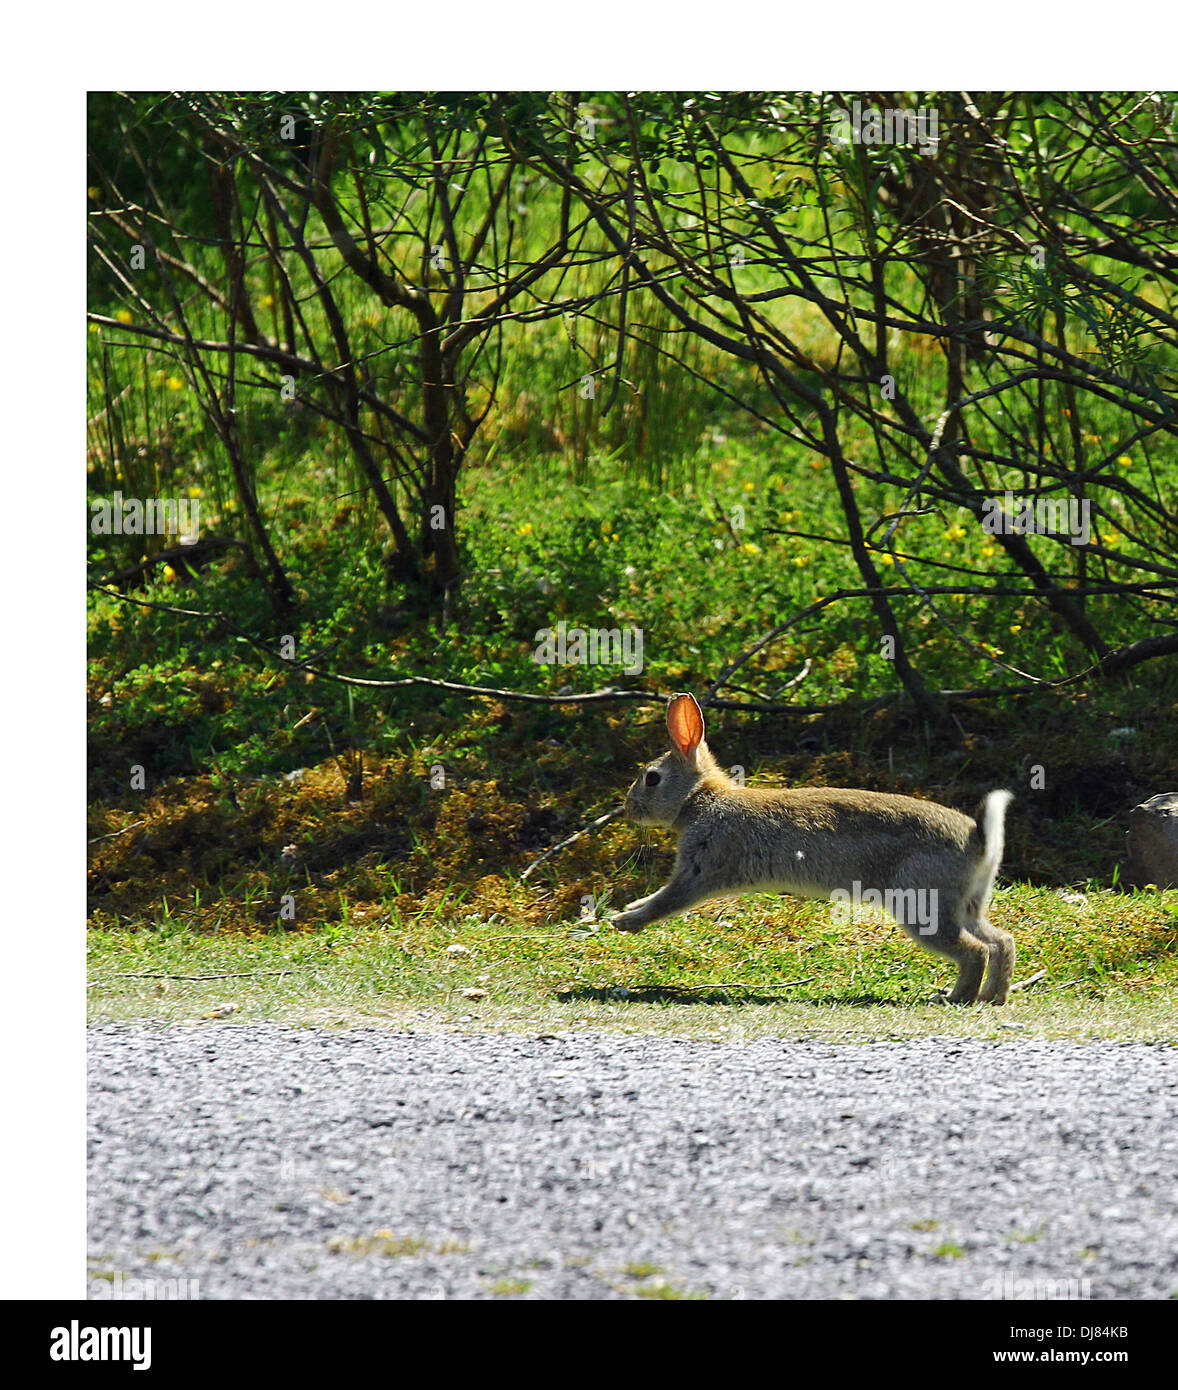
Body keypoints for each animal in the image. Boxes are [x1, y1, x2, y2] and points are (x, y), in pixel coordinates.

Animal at [613, 693, 1015, 1005]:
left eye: (652, 779)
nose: (629, 808)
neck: (700, 799)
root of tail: (978, 840)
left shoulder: (699, 869)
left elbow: (668, 900)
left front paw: (623, 922)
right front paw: (627, 910)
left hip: (920, 903)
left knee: (974, 950)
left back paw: (955, 997)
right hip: (965, 903)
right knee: (999, 941)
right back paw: (992, 996)